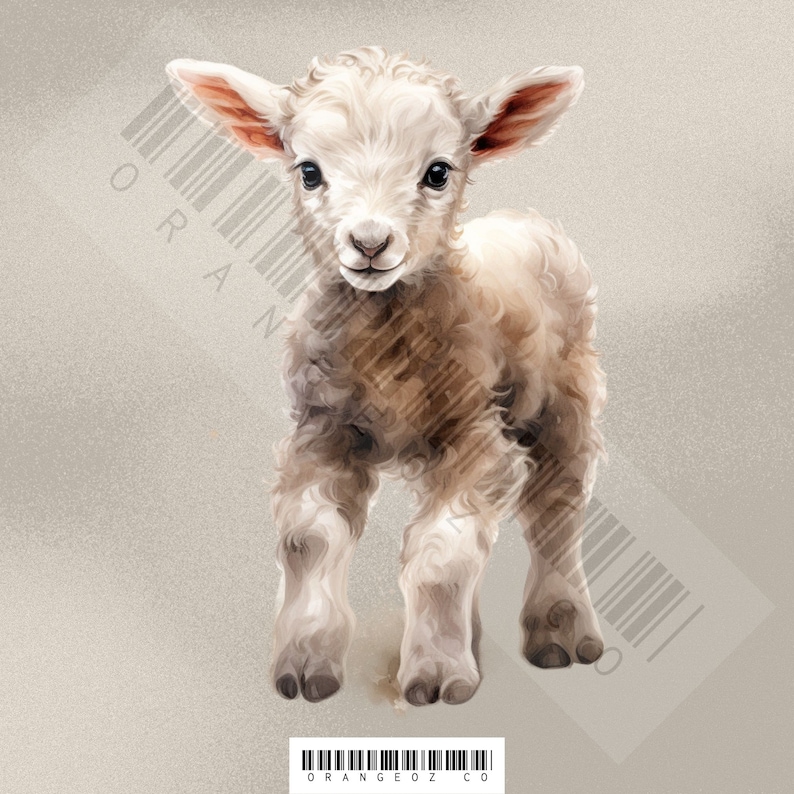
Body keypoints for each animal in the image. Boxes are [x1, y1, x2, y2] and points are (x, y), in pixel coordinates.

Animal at [167, 47, 606, 705]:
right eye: (309, 172)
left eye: (438, 172)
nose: (369, 242)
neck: (387, 350)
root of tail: (523, 219)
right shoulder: (321, 432)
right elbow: (311, 540)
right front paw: (304, 665)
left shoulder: (476, 435)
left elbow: (441, 555)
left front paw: (438, 673)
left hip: (565, 401)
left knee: (557, 511)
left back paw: (561, 632)